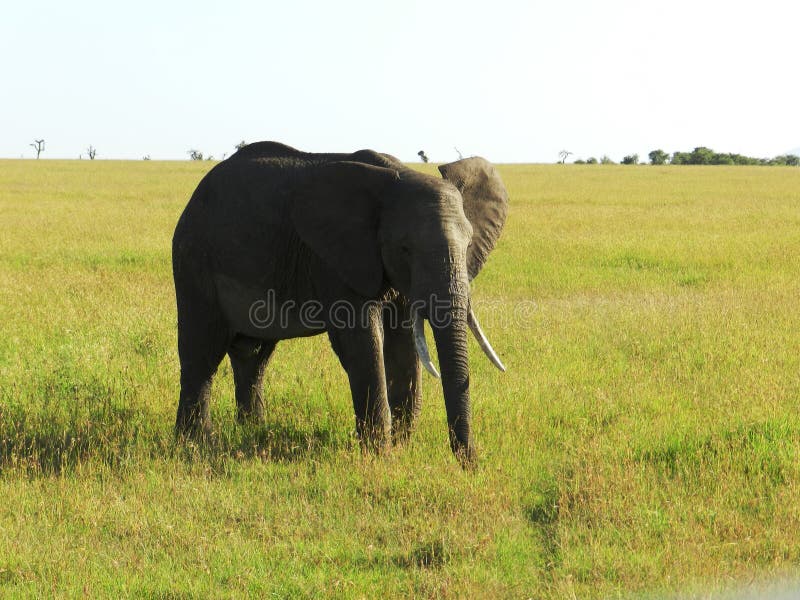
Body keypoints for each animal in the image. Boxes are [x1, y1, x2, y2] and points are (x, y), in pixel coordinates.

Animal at [172, 141, 508, 463]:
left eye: (468, 245)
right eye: (405, 249)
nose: (471, 463)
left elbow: (402, 345)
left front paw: (400, 449)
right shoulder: (334, 258)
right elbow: (362, 341)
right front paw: (380, 457)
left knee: (253, 356)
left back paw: (253, 434)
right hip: (194, 260)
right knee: (202, 353)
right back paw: (194, 444)